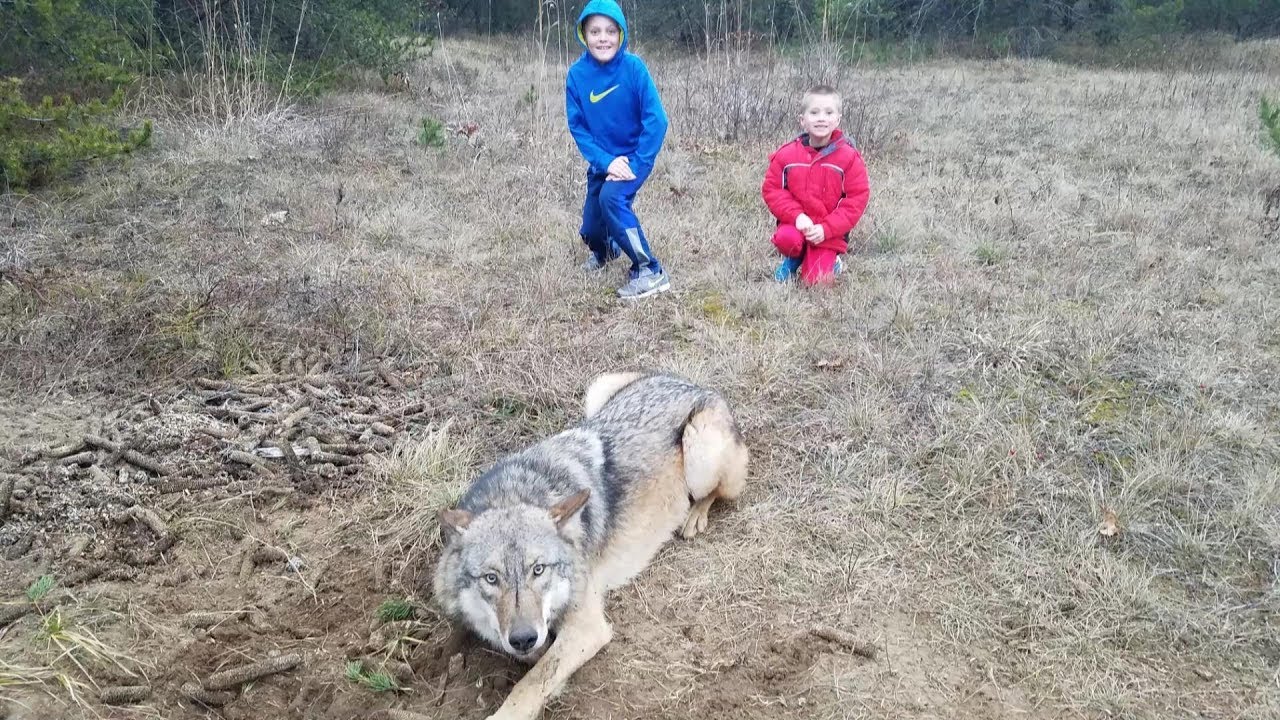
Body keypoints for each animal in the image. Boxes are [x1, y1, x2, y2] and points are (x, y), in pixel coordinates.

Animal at [432, 372, 749, 720]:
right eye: (491, 578)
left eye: (538, 570)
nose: (524, 638)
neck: (514, 495)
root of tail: (691, 383)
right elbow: (532, 661)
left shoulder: (587, 628)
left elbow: (531, 682)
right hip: (598, 390)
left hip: (700, 456)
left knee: (716, 492)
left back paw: (694, 516)